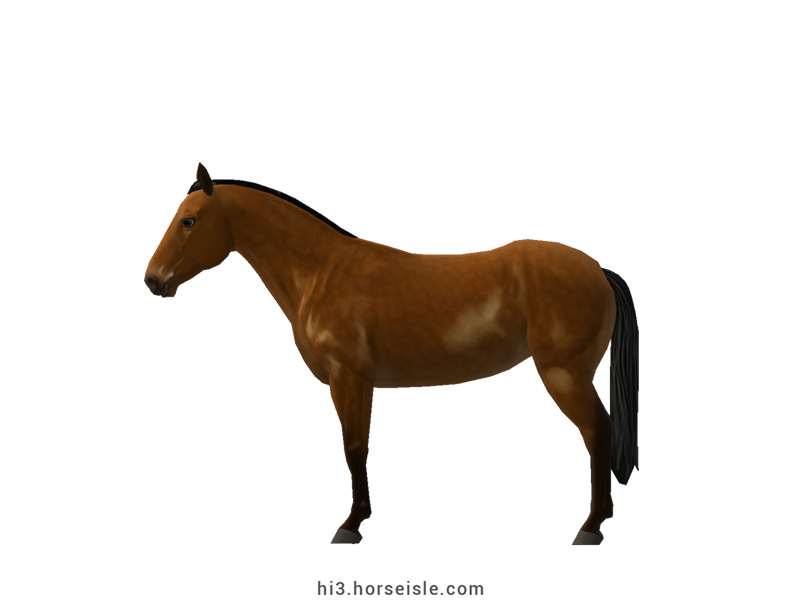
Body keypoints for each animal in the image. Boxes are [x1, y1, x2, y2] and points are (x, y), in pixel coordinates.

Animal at [145, 166, 638, 536]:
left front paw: (353, 520)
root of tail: (597, 272)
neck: (321, 272)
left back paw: (592, 524)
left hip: (565, 373)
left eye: (188, 220)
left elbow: (353, 444)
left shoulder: (347, 373)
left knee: (598, 434)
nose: (154, 279)